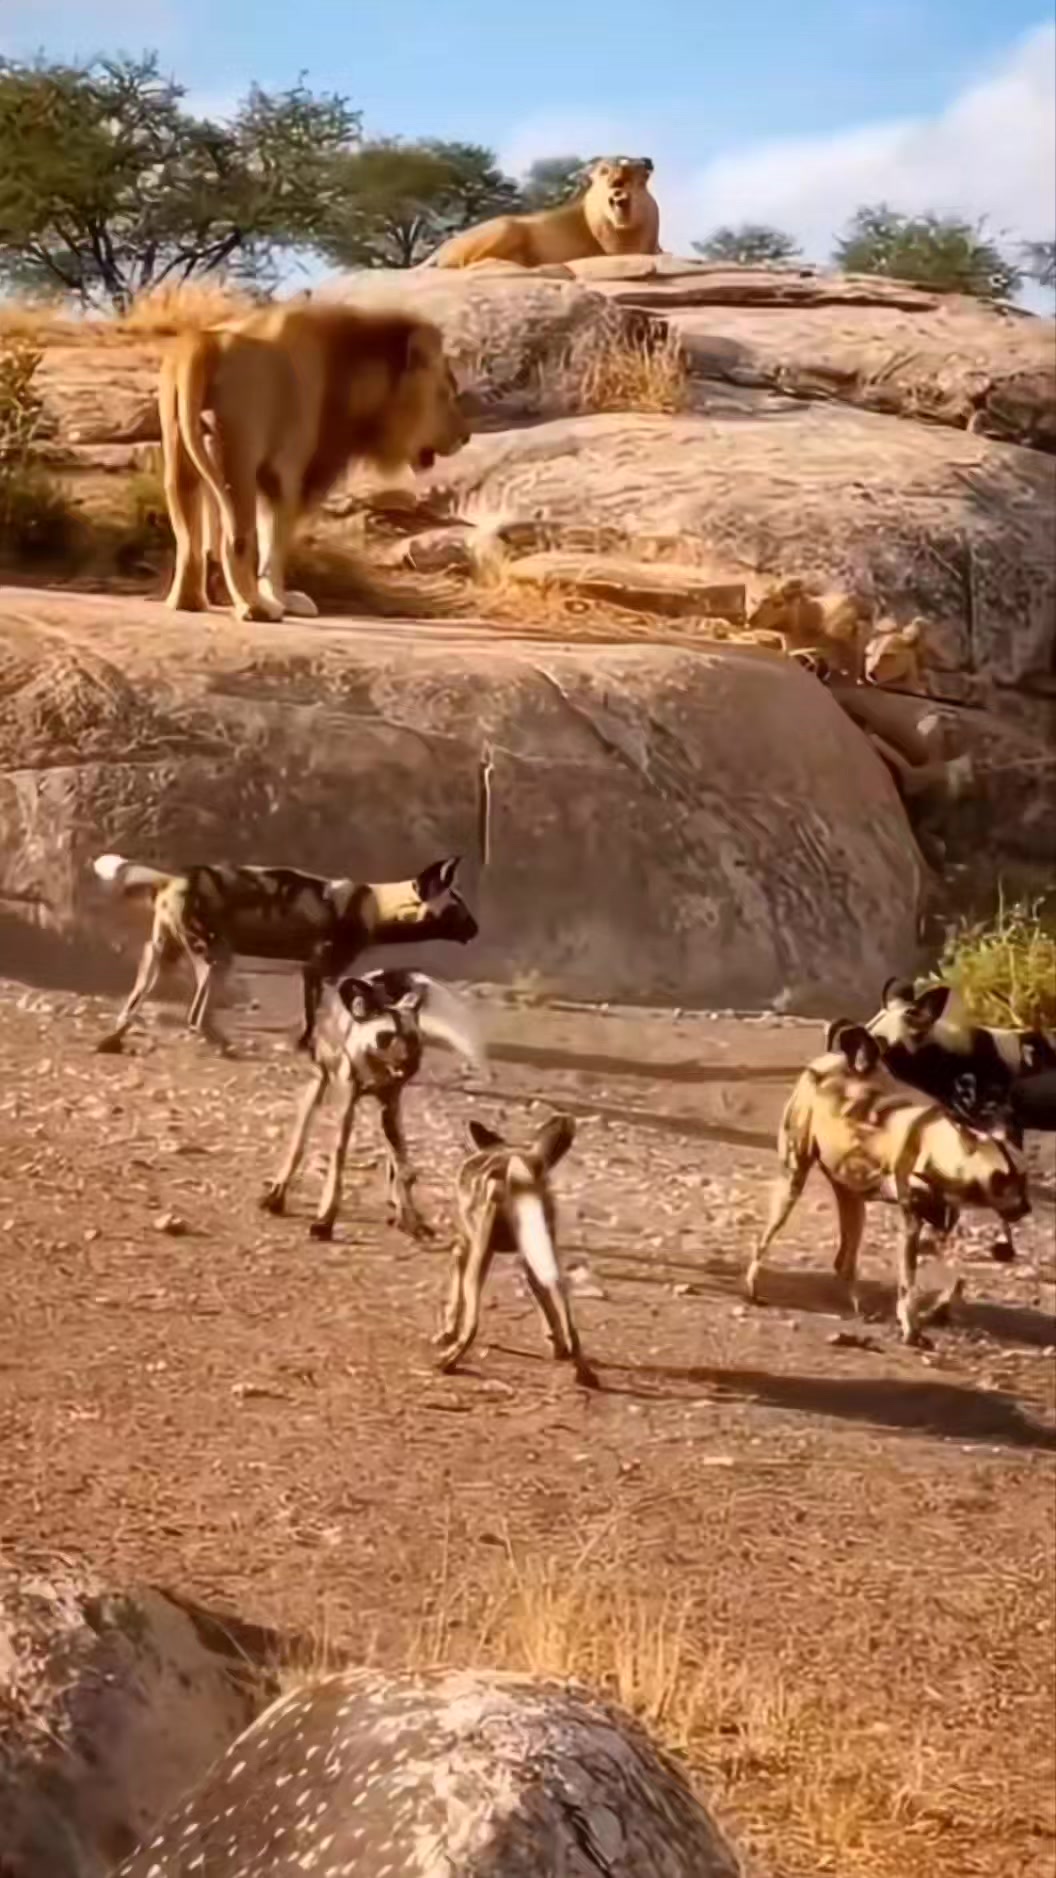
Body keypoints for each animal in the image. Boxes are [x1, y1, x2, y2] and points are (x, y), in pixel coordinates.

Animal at [159, 301, 470, 623]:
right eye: (447, 394)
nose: (466, 436)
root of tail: (202, 342)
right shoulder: (284, 473)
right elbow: (275, 547)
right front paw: (282, 599)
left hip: (180, 455)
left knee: (187, 538)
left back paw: (188, 602)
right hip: (238, 458)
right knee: (236, 542)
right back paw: (257, 608)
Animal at [422, 157, 661, 270]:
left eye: (633, 168)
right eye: (604, 170)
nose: (617, 182)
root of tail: (443, 246)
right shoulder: (617, 249)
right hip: (506, 226)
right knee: (471, 262)